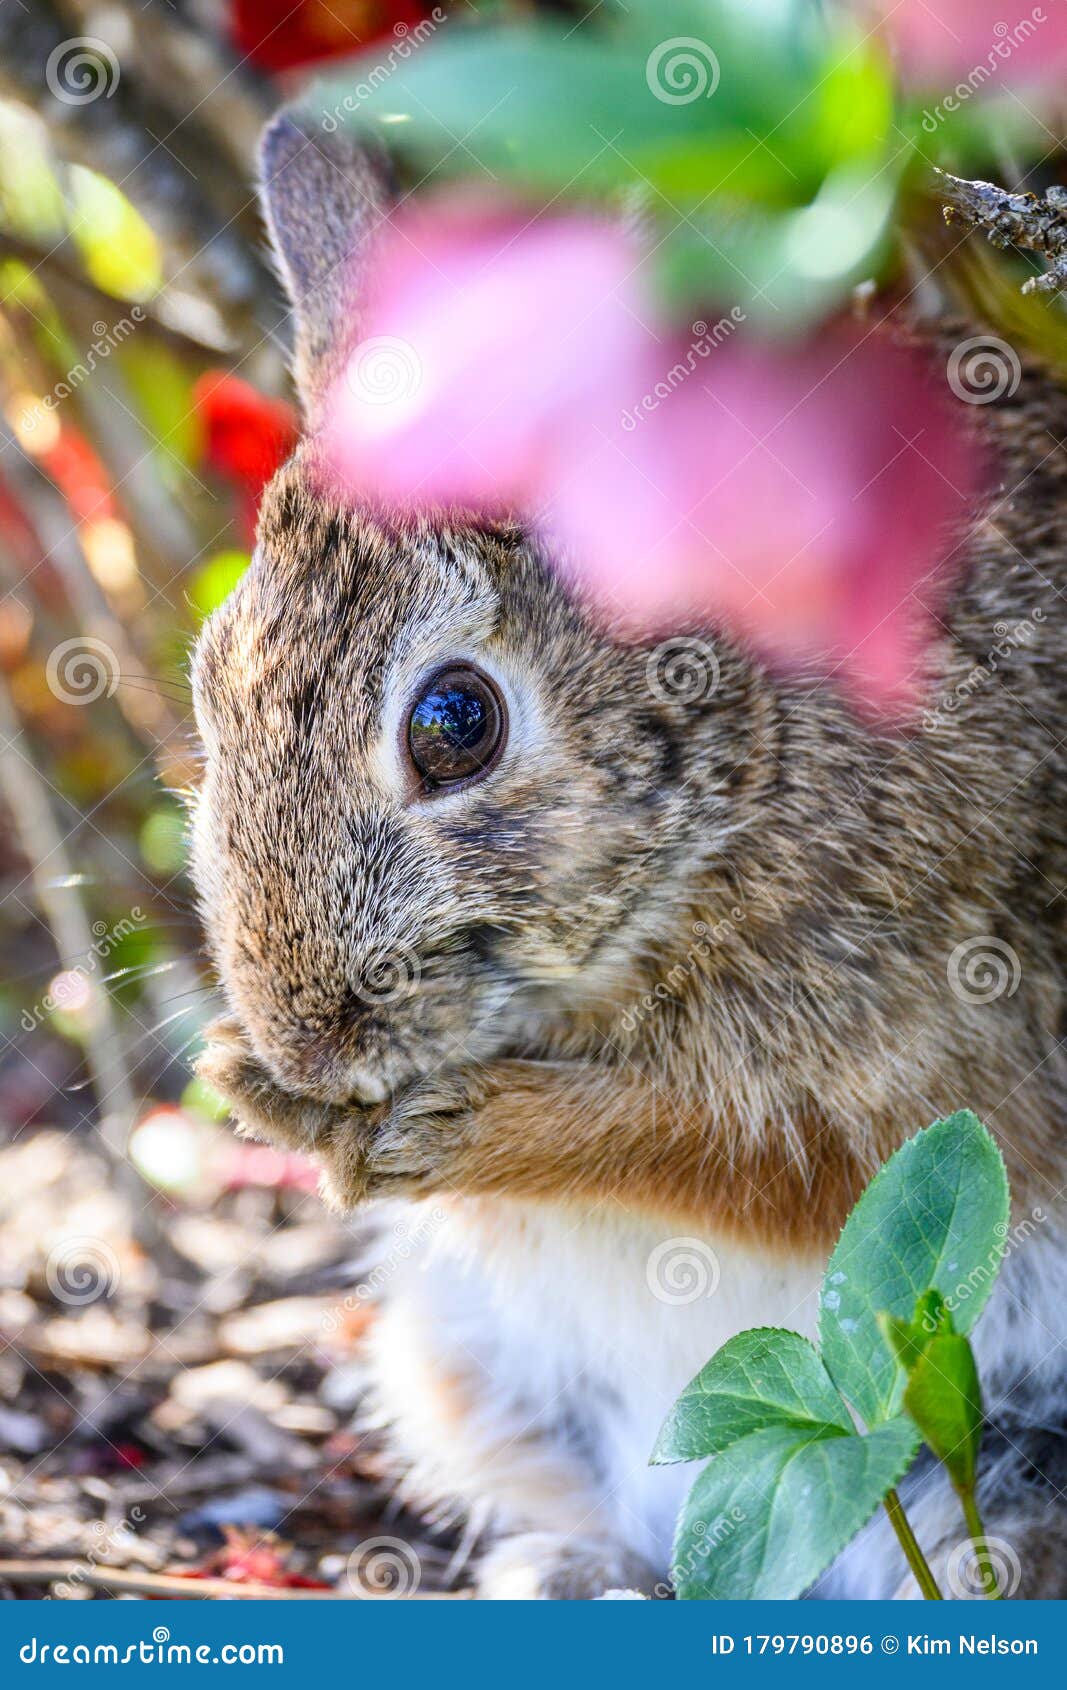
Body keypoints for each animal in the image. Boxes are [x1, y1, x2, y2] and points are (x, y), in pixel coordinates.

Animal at [192, 111, 1067, 1599]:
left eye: (454, 722)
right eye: (207, 678)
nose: (305, 1039)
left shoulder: (932, 1053)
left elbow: (731, 1155)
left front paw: (471, 1127)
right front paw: (259, 1093)